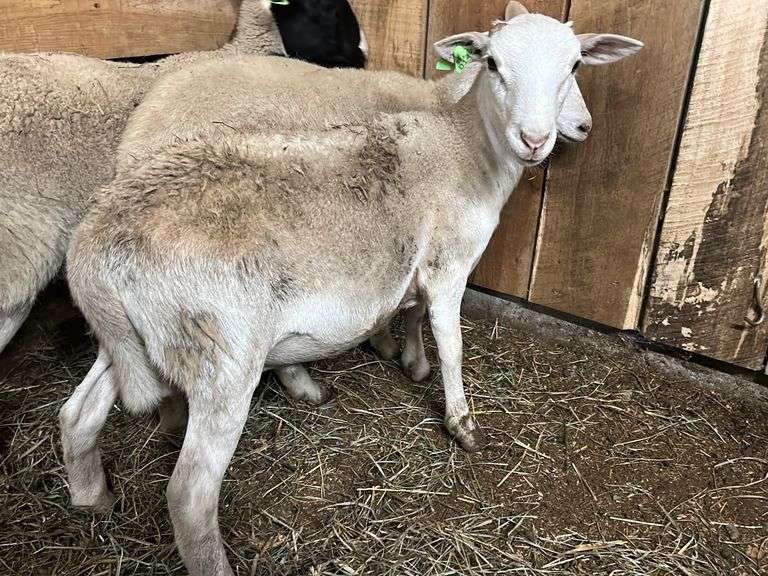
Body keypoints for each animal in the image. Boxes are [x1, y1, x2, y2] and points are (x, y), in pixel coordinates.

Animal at [63, 3, 642, 572]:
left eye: (575, 66)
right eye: (494, 64)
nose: (537, 139)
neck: (464, 147)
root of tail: (95, 241)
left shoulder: (417, 263)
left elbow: (412, 311)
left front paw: (409, 360)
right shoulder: (450, 264)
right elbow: (451, 342)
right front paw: (461, 423)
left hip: (139, 338)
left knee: (77, 413)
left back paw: (94, 500)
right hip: (221, 356)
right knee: (189, 495)